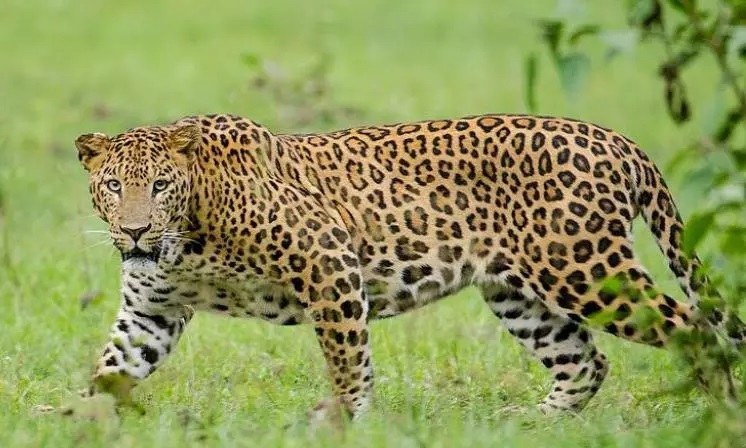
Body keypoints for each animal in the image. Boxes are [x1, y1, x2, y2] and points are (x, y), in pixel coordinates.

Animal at [74, 113, 745, 419]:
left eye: (160, 185)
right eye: (114, 185)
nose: (134, 230)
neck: (186, 240)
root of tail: (616, 139)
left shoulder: (329, 261)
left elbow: (348, 359)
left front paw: (344, 420)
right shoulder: (151, 311)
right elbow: (113, 368)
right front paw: (75, 421)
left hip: (583, 269)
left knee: (695, 329)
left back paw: (719, 415)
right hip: (518, 293)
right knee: (586, 361)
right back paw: (535, 424)